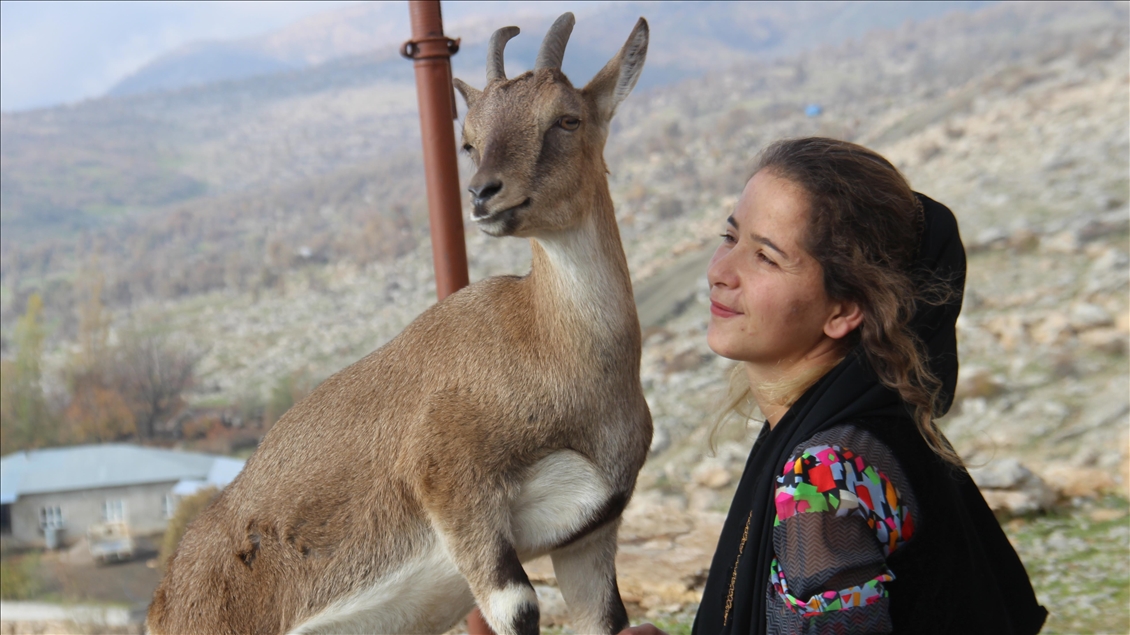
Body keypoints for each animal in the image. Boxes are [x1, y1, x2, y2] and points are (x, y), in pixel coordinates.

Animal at [147, 13, 651, 635]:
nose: (484, 195)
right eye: (469, 140)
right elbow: (517, 607)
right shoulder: (454, 487)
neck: (549, 350)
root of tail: (165, 598)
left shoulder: (590, 536)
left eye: (566, 118)